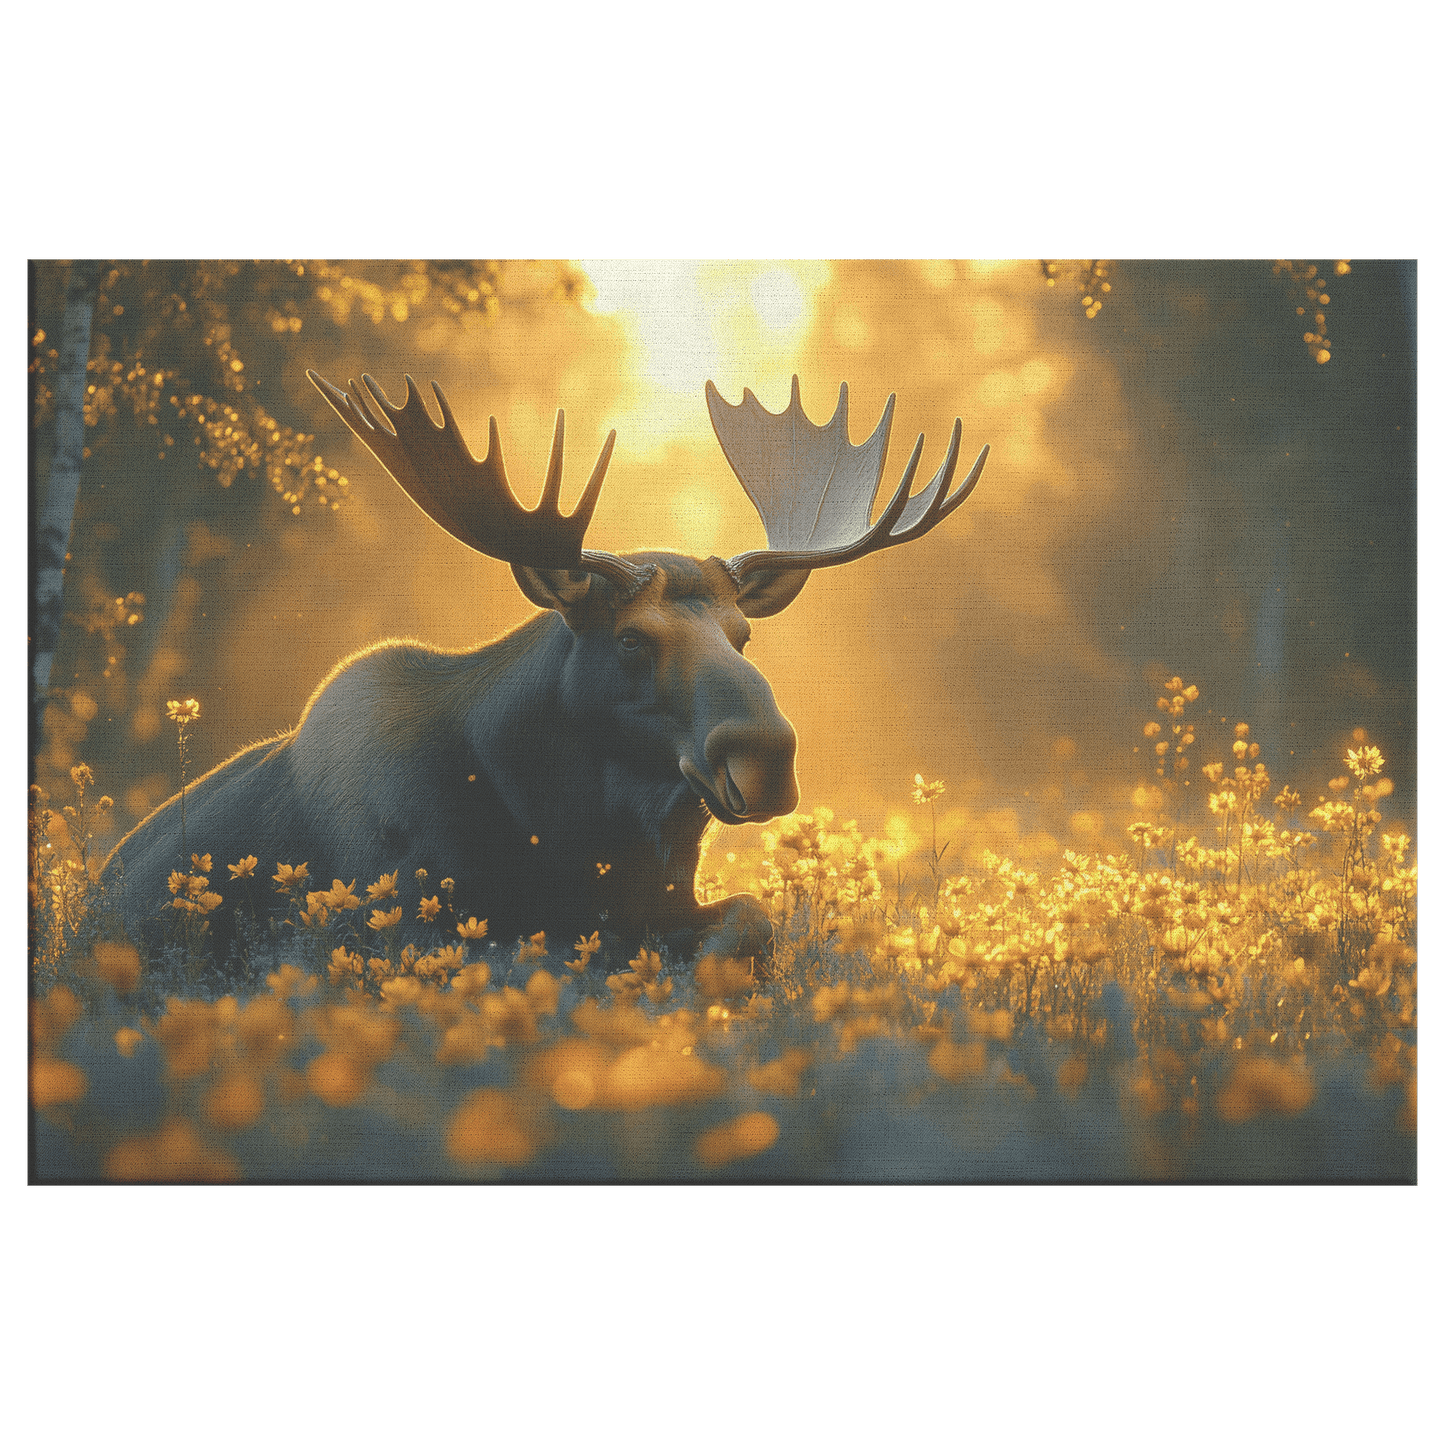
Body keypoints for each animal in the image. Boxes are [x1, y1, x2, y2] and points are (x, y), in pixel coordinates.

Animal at [102, 370, 987, 975]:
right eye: (630, 639)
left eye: (743, 635)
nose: (765, 755)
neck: (574, 831)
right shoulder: (392, 914)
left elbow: (751, 917)